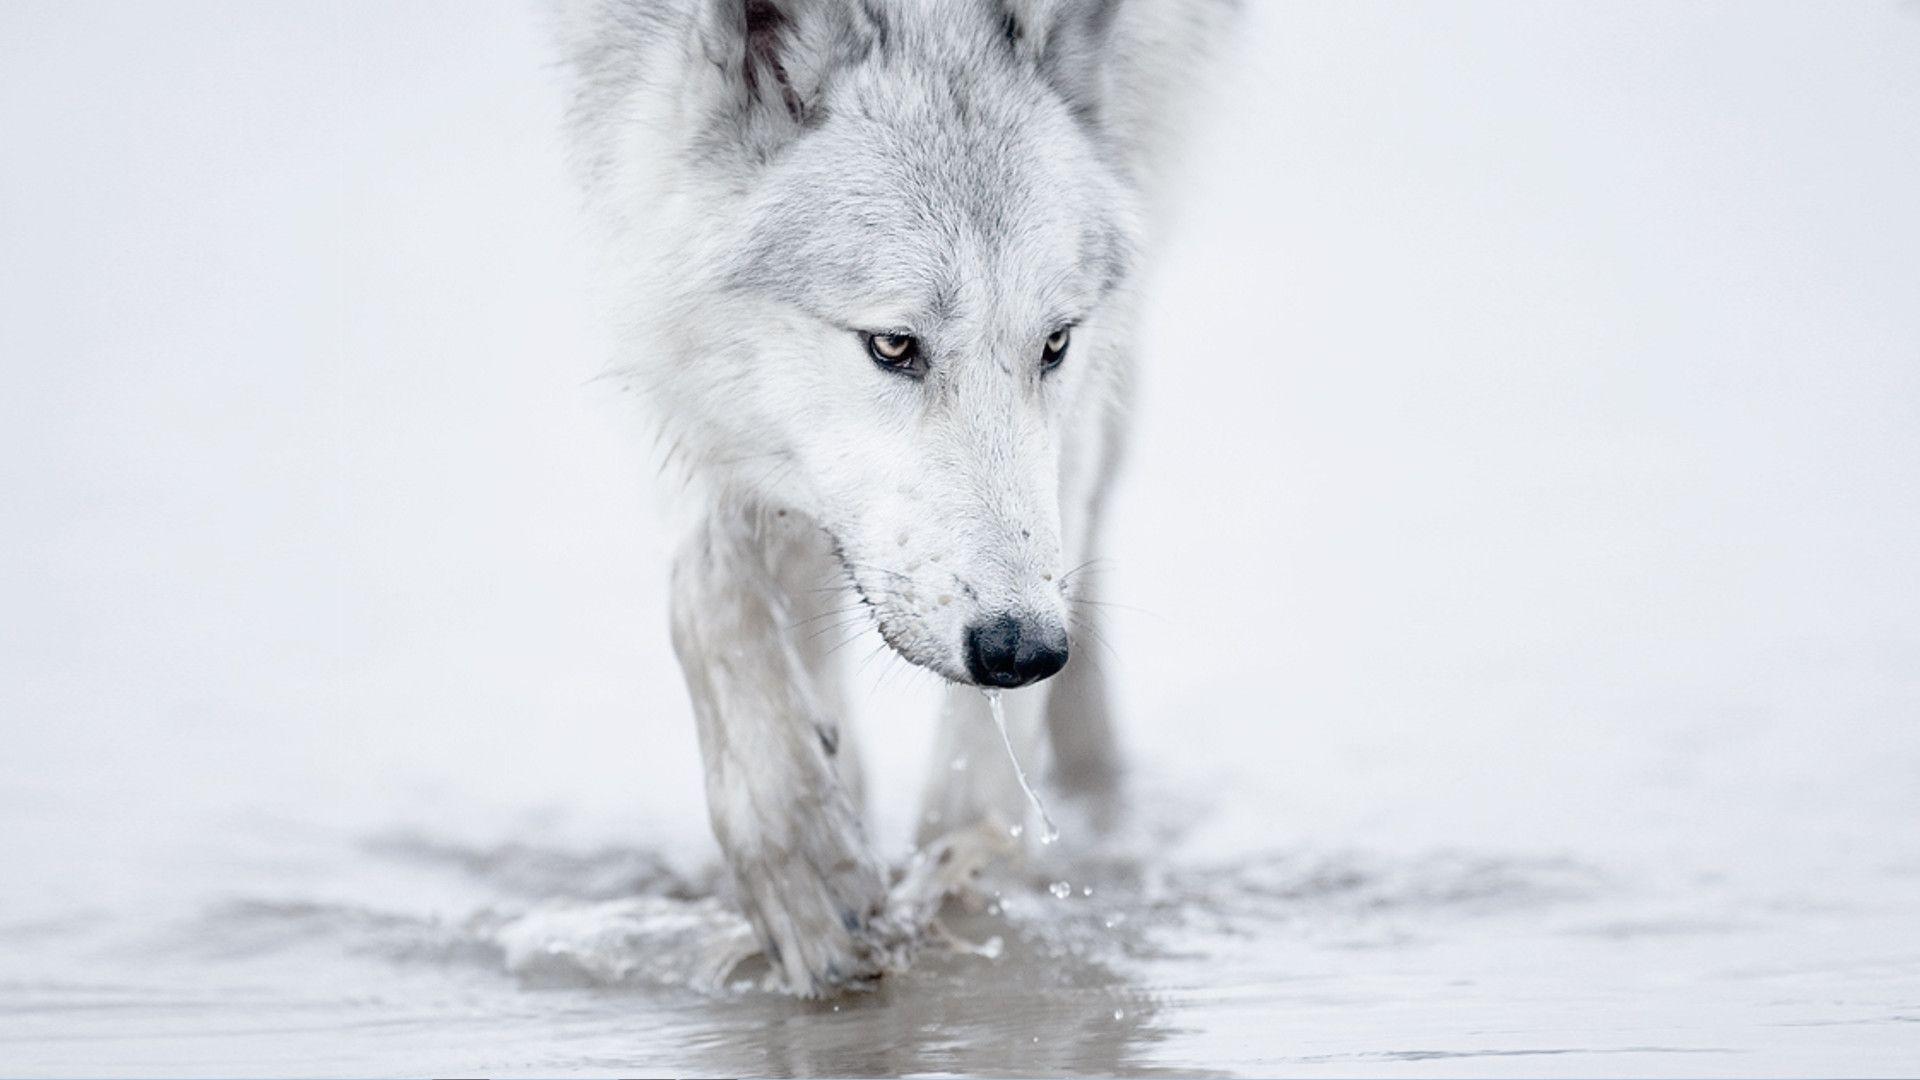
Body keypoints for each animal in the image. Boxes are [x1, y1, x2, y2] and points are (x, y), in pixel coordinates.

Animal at [555, 0, 1234, 995]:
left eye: (1055, 344)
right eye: (892, 345)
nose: (1023, 648)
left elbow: (980, 769)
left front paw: (961, 889)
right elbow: (709, 587)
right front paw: (805, 861)